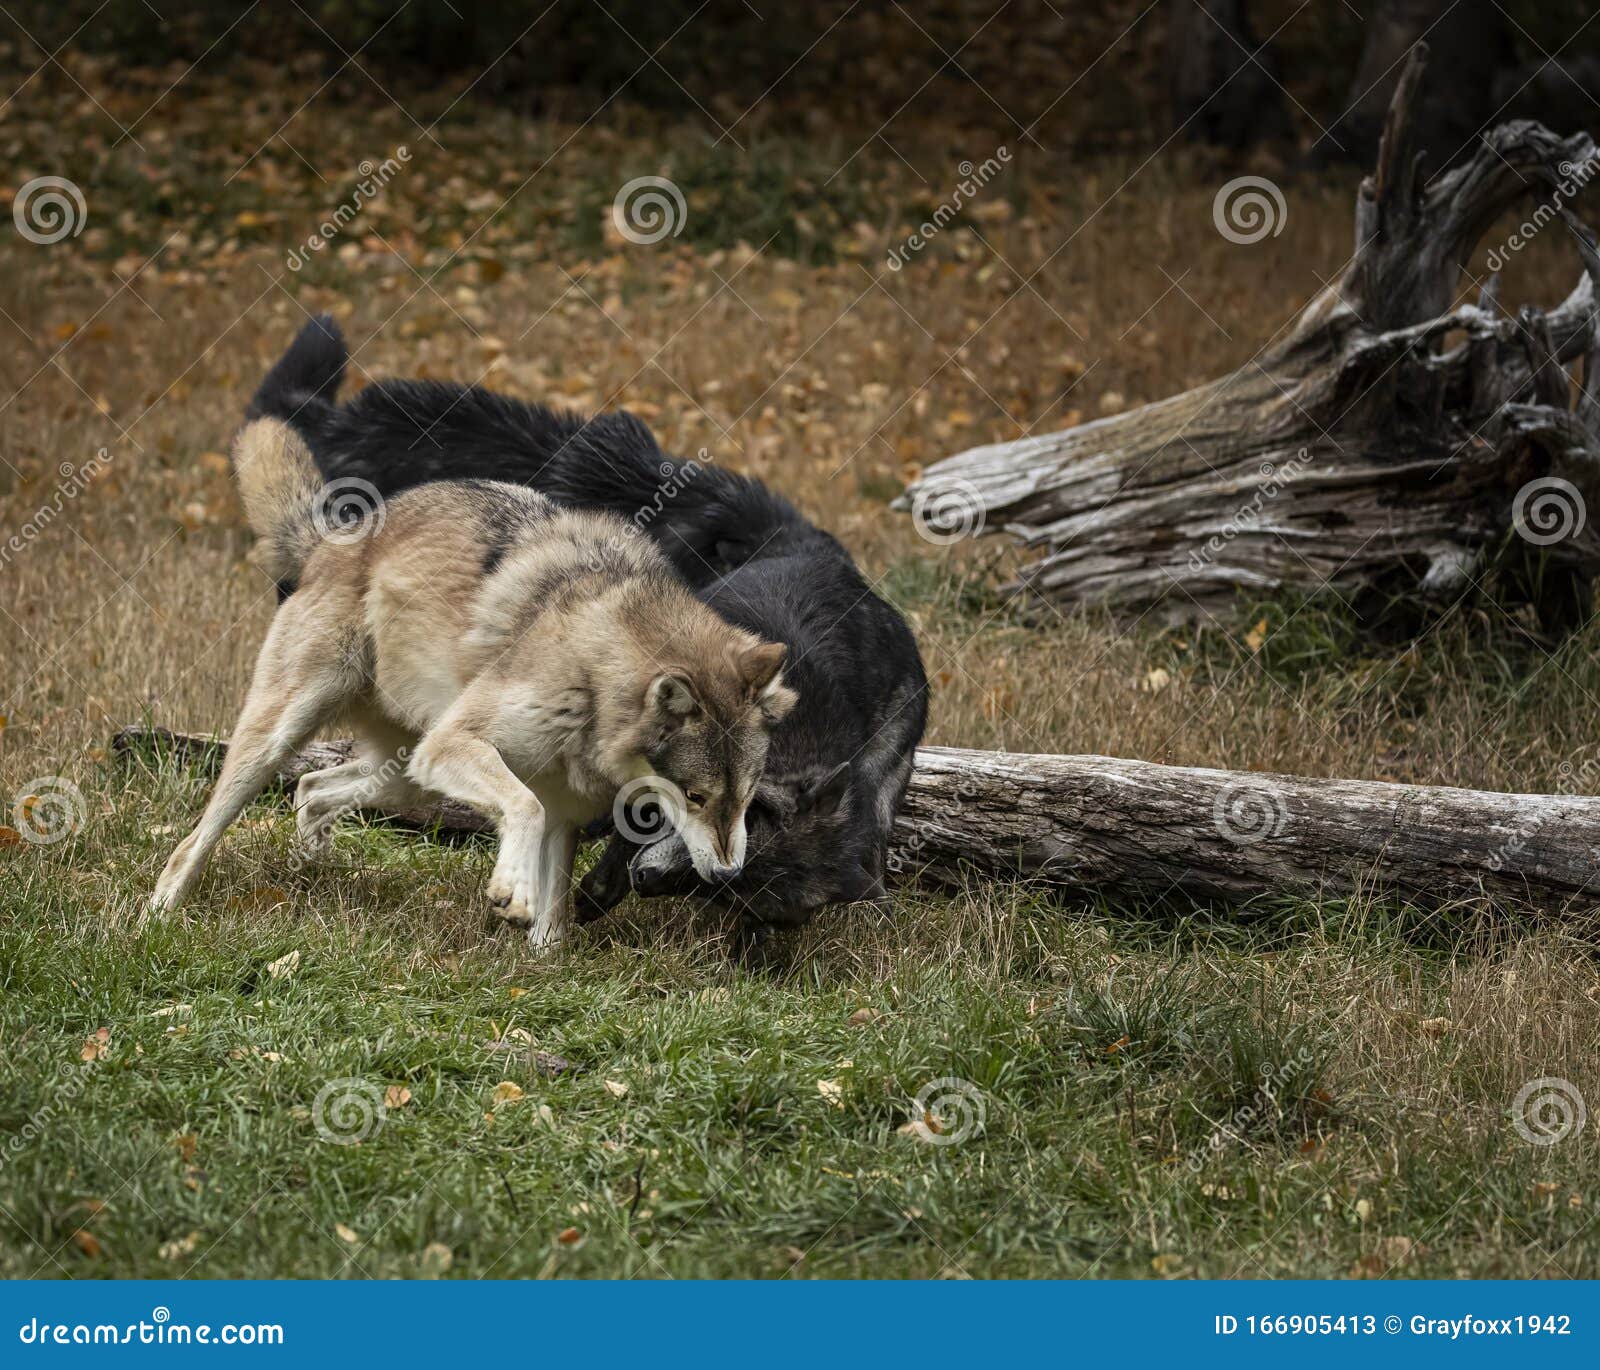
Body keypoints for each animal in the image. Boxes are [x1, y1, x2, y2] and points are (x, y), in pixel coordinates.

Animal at [150, 413, 795, 949]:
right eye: (695, 797)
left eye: (743, 799)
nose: (729, 873)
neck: (592, 671)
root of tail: (336, 536)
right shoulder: (467, 750)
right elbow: (522, 811)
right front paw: (510, 893)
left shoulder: (562, 809)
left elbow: (553, 917)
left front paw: (544, 966)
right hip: (293, 744)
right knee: (195, 840)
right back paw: (157, 916)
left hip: (406, 777)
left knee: (311, 791)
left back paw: (310, 868)